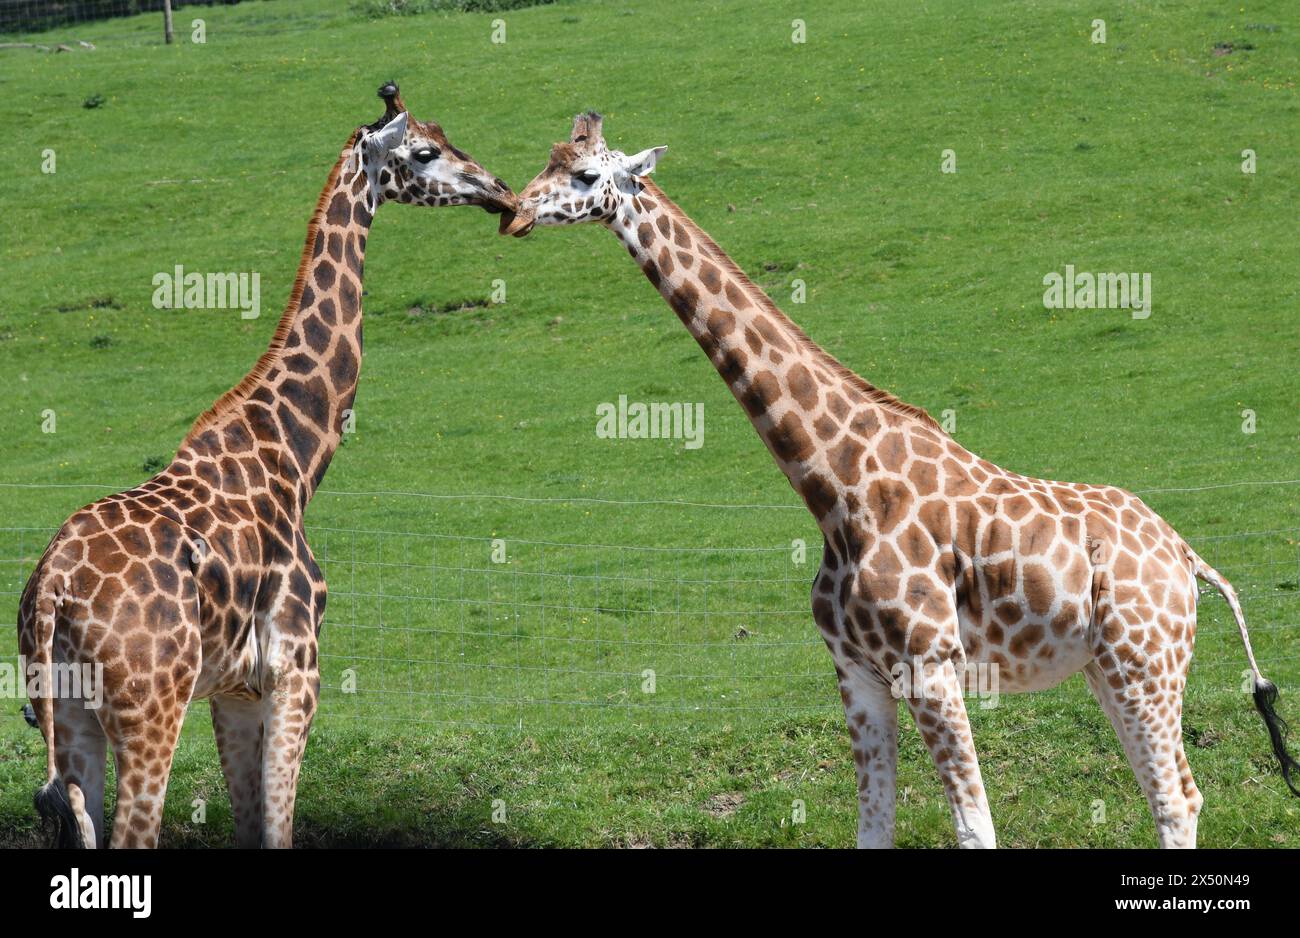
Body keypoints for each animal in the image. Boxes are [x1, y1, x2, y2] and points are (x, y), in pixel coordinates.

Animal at [17, 82, 517, 848]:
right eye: (426, 150)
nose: (499, 190)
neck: (296, 455)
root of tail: (51, 590)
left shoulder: (236, 689)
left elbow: (252, 827)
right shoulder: (297, 673)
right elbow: (278, 830)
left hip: (68, 717)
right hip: (149, 708)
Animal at [500, 112, 1300, 848]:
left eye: (585, 175)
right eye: (547, 159)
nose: (513, 211)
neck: (832, 487)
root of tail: (1189, 557)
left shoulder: (930, 665)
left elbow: (975, 827)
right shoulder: (855, 672)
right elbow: (874, 827)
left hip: (1145, 661)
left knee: (1175, 799)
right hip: (1110, 667)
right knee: (1172, 791)